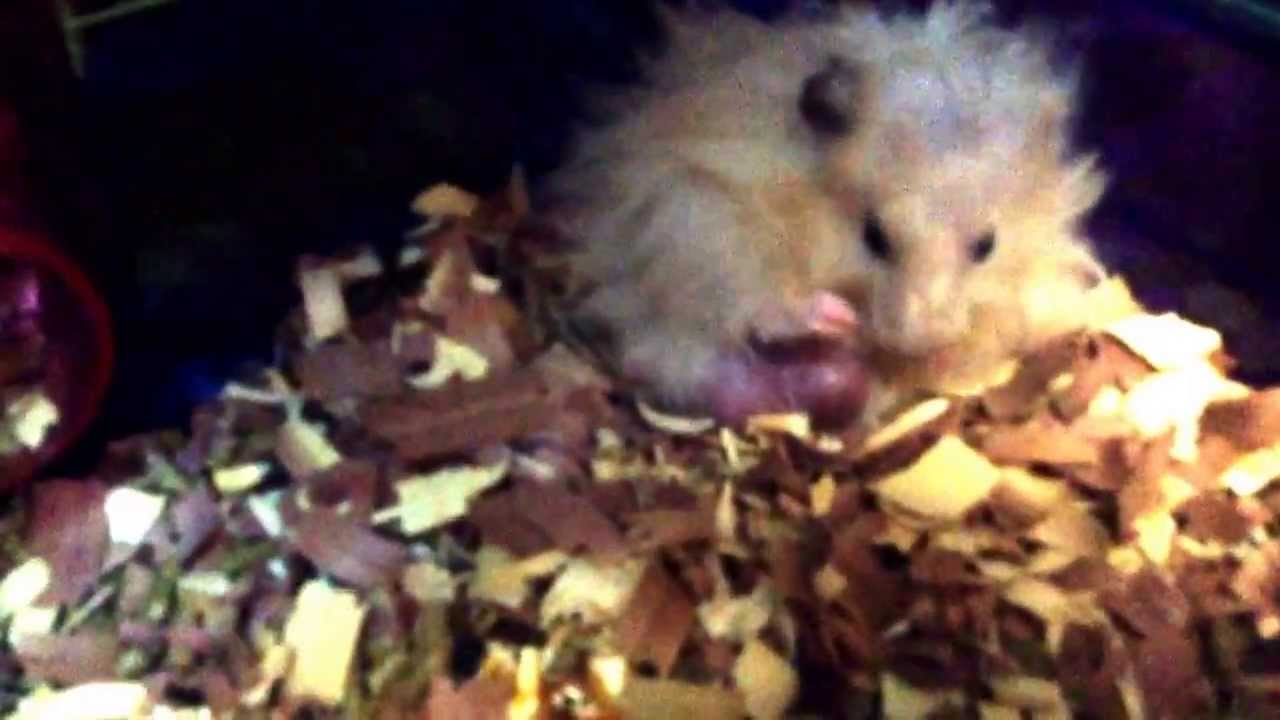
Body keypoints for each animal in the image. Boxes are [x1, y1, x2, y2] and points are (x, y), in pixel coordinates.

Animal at [539, 1, 1109, 426]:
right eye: (873, 236)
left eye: (987, 246)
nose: (913, 338)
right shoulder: (700, 209)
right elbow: (765, 301)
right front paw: (837, 320)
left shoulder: (1037, 290)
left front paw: (922, 353)